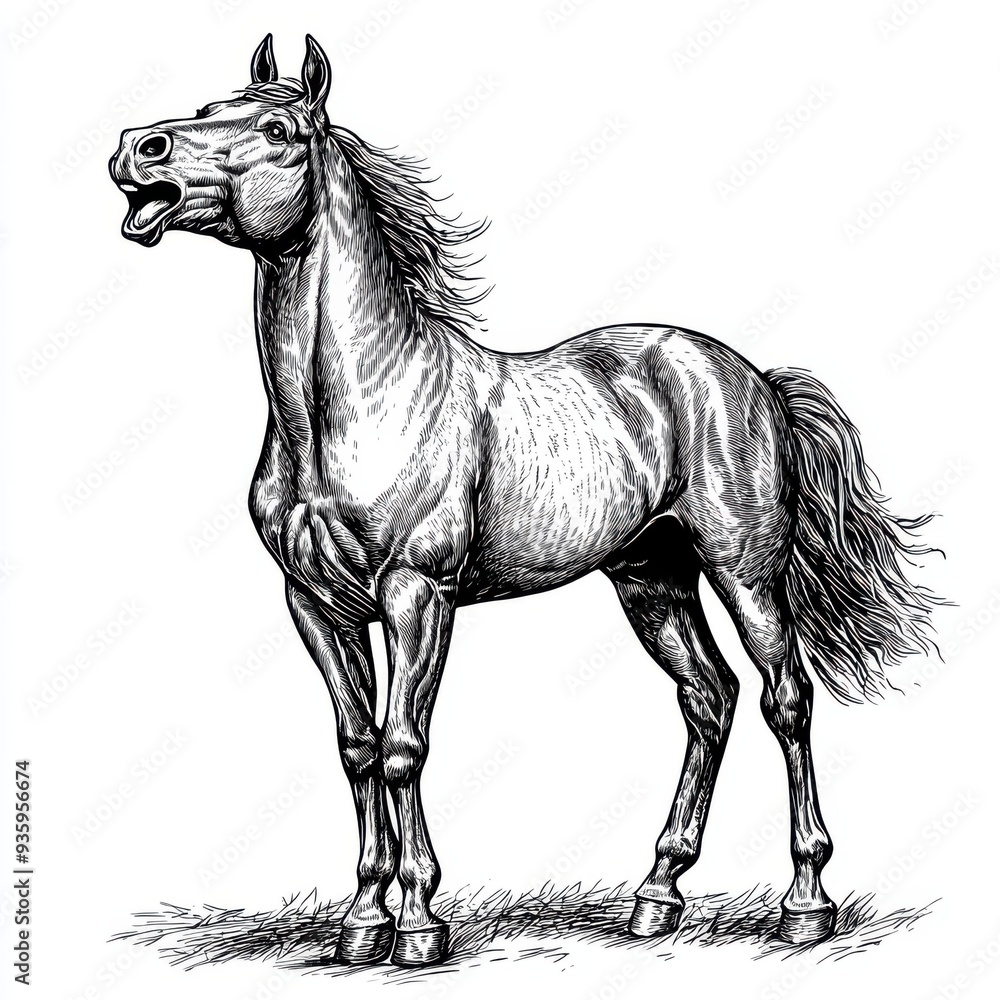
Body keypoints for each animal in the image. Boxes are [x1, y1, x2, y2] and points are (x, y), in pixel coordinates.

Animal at [109, 34, 940, 967]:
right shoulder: (316, 603)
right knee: (709, 699)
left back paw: (805, 902)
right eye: (209, 111)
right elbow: (357, 749)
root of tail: (748, 375)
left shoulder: (417, 594)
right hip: (652, 581)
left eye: (279, 130)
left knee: (784, 700)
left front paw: (419, 923)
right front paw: (361, 921)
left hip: (745, 574)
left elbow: (403, 748)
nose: (138, 150)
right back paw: (656, 895)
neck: (355, 407)